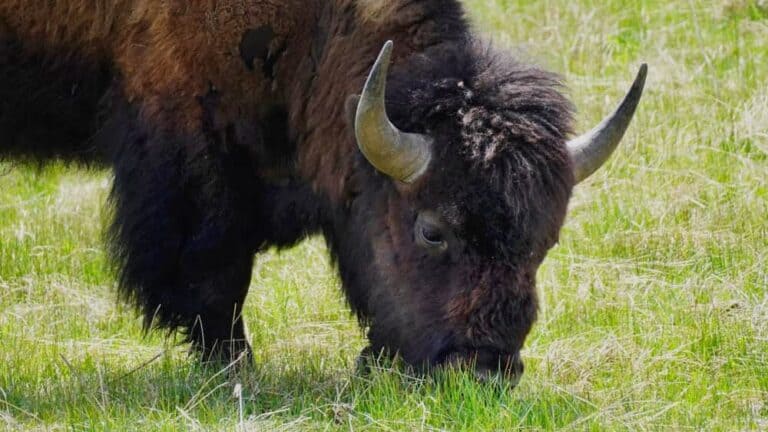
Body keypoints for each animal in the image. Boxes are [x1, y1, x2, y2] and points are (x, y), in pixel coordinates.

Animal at [0, 0, 645, 382]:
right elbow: (216, 272)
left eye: (546, 241)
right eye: (431, 230)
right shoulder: (192, 146)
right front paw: (235, 369)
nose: (485, 367)